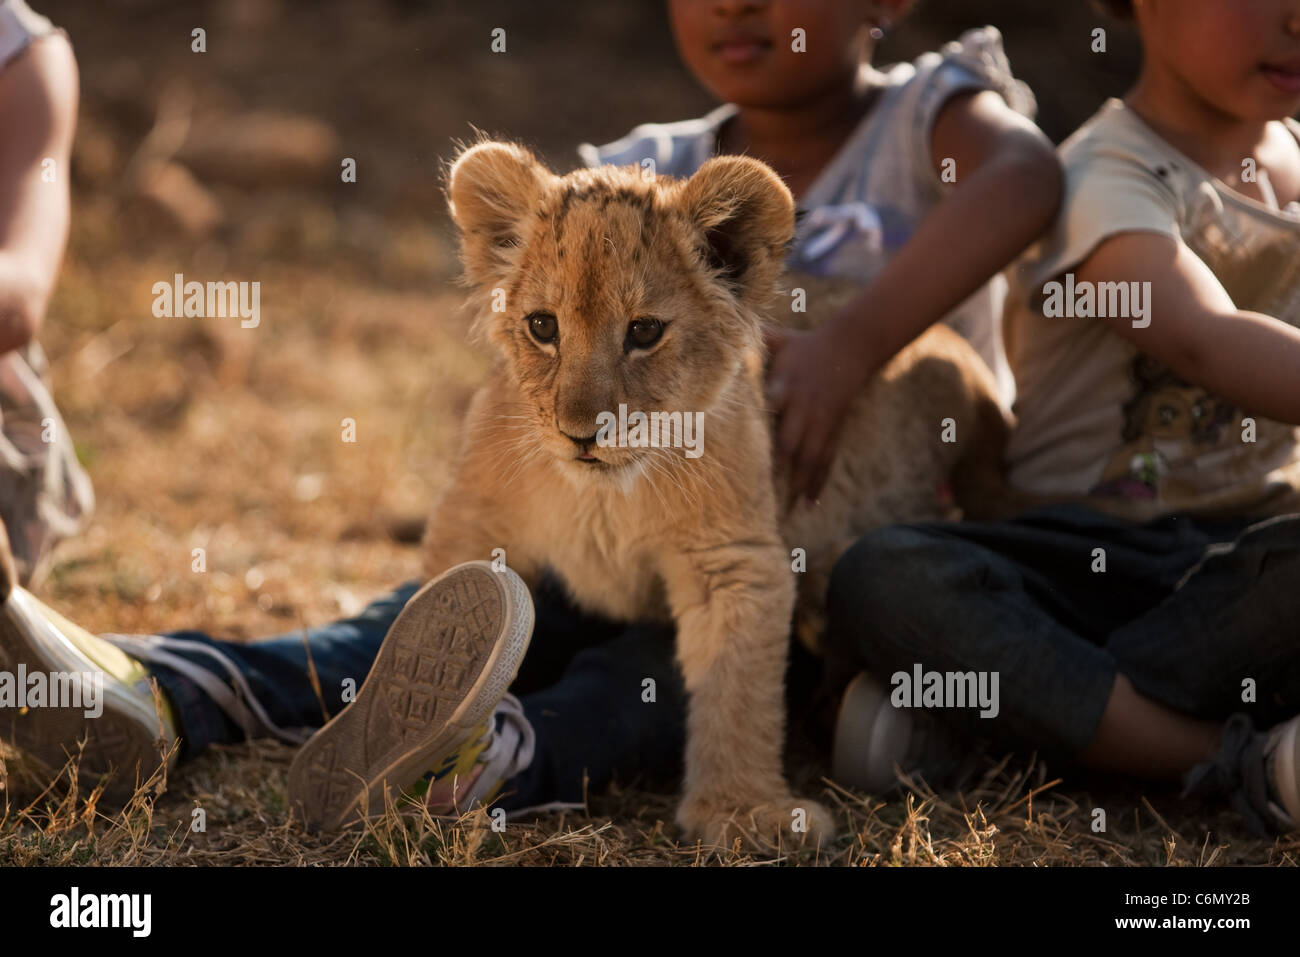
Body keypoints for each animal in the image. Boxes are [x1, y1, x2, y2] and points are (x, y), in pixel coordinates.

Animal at [420, 139, 1011, 848]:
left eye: (645, 332)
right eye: (542, 326)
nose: (582, 433)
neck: (605, 494)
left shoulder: (733, 559)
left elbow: (737, 690)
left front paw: (743, 812)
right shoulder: (473, 518)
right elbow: (454, 604)